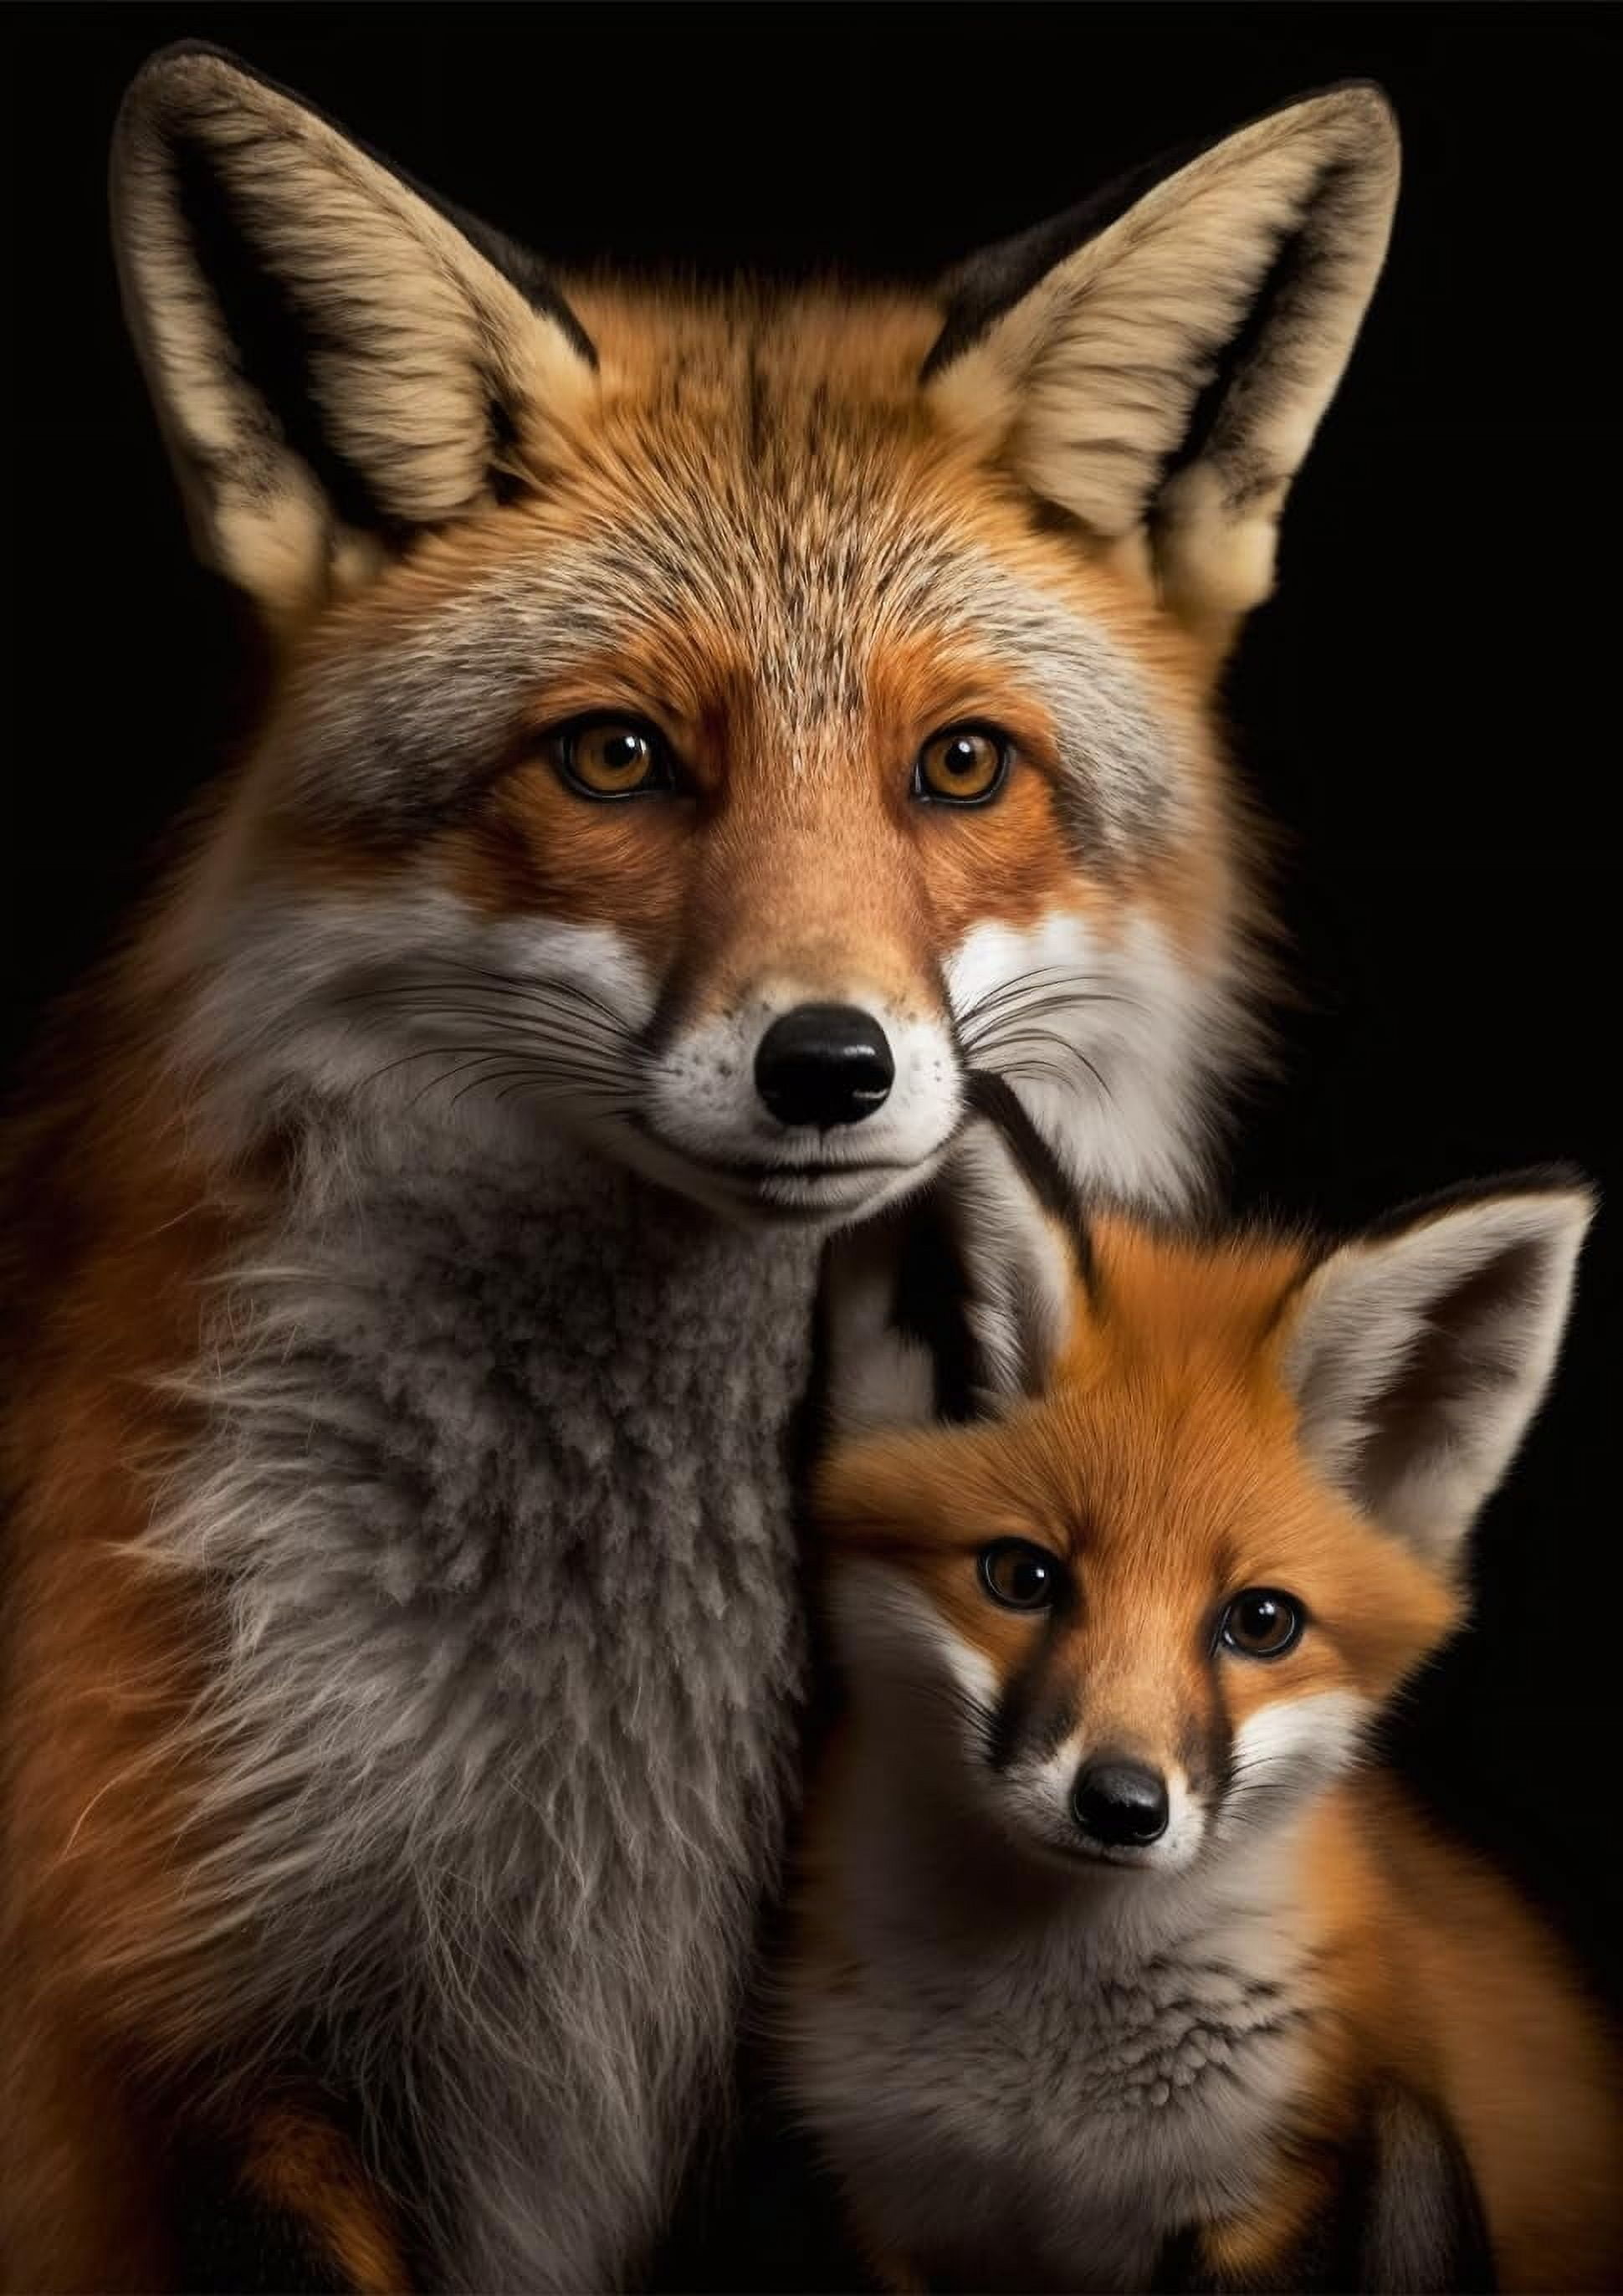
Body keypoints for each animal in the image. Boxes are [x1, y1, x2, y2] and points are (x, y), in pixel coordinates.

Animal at [787, 1102, 1623, 2293]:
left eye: (1259, 1621)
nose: (1121, 1805)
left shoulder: (1266, 2196)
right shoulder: (889, 2206)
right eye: (1021, 1576)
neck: (1042, 2090)